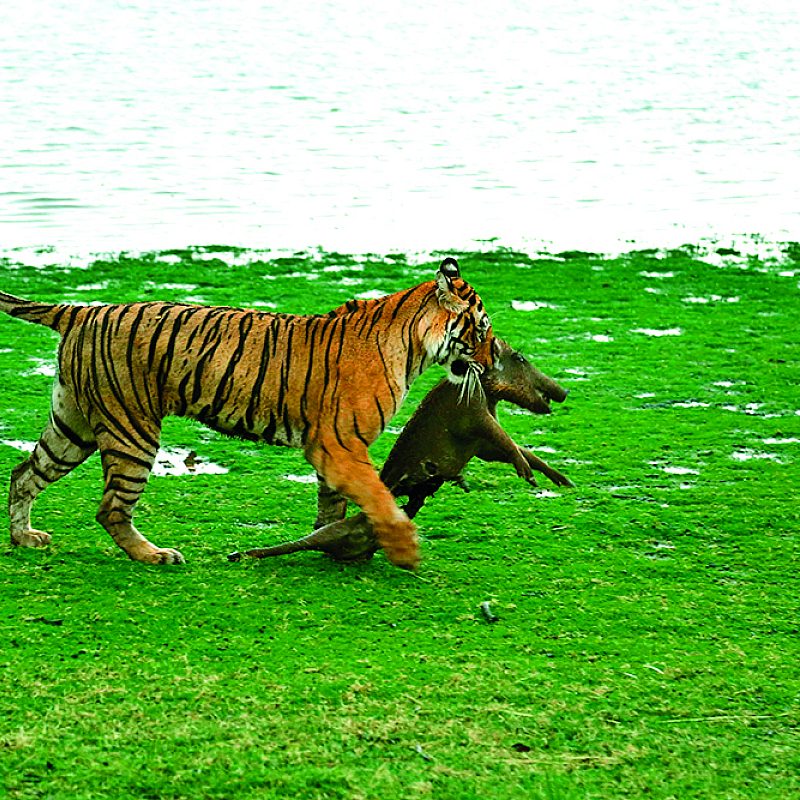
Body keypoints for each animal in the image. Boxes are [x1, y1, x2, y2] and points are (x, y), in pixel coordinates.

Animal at [0, 257, 493, 570]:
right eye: (482, 329)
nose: (492, 363)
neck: (413, 346)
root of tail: (83, 310)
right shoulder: (340, 443)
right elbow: (380, 499)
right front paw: (405, 550)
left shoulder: (333, 452)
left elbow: (333, 504)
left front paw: (331, 544)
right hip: (131, 430)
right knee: (110, 509)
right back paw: (155, 556)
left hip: (74, 427)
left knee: (24, 473)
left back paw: (25, 537)